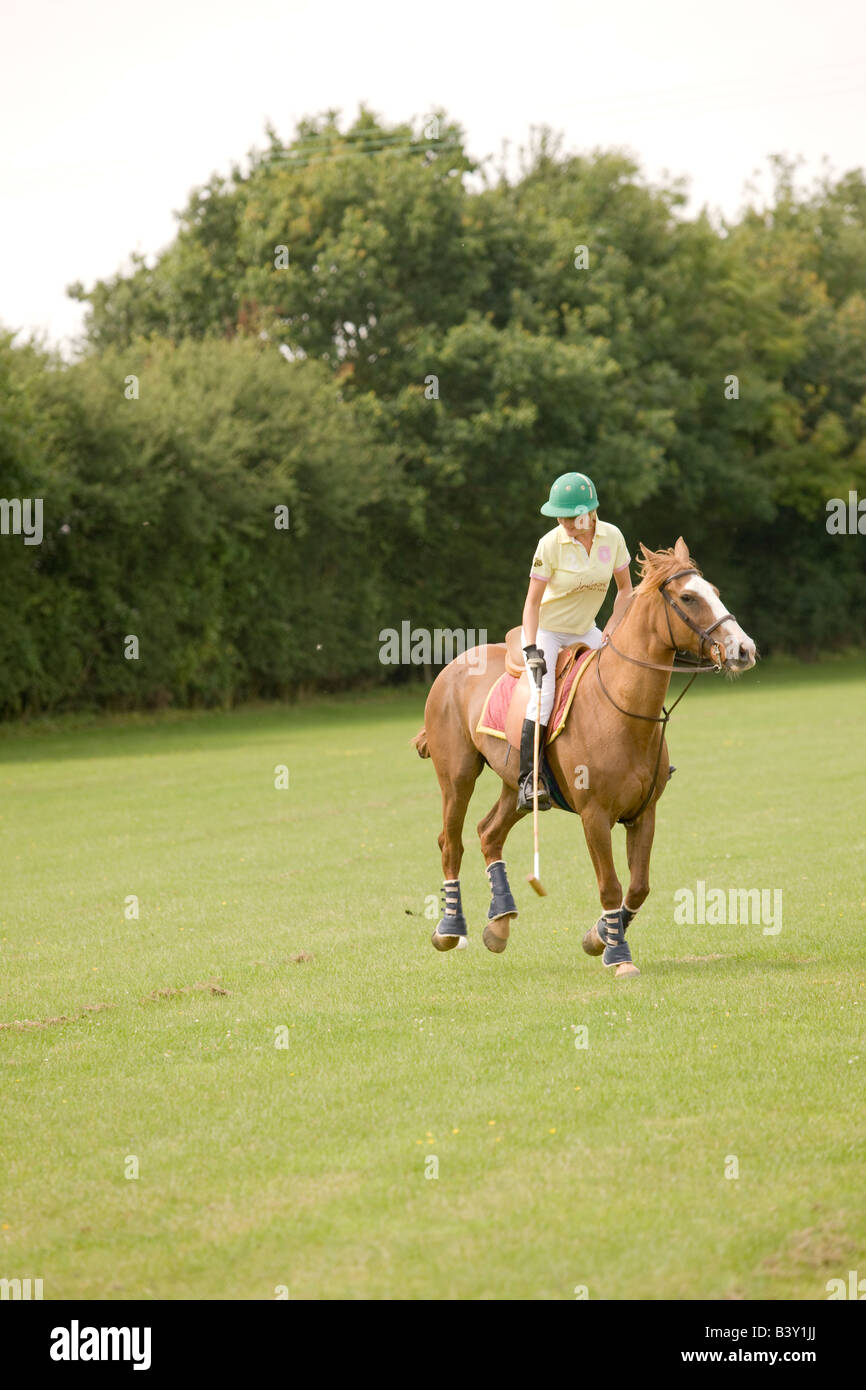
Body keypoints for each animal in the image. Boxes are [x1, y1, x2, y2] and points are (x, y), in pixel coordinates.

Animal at [411, 538, 757, 978]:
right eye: (688, 597)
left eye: (714, 590)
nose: (743, 649)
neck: (624, 711)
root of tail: (452, 666)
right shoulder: (594, 816)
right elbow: (610, 884)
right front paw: (619, 955)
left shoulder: (644, 812)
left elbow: (639, 886)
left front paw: (599, 937)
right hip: (457, 775)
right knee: (450, 842)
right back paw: (451, 928)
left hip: (515, 785)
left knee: (489, 832)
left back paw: (500, 924)